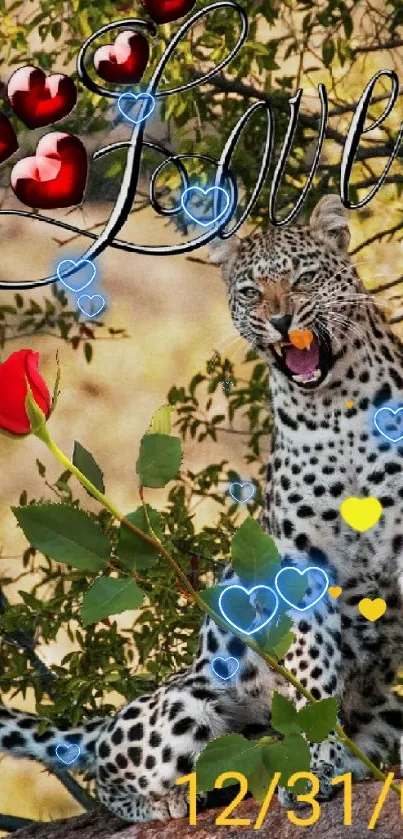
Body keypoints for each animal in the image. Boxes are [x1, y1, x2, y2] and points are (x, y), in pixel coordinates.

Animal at [2, 194, 403, 822]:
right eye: (250, 292)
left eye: (303, 277)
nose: (281, 320)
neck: (334, 407)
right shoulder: (302, 562)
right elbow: (313, 677)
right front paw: (318, 763)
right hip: (184, 707)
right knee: (112, 778)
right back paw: (167, 802)